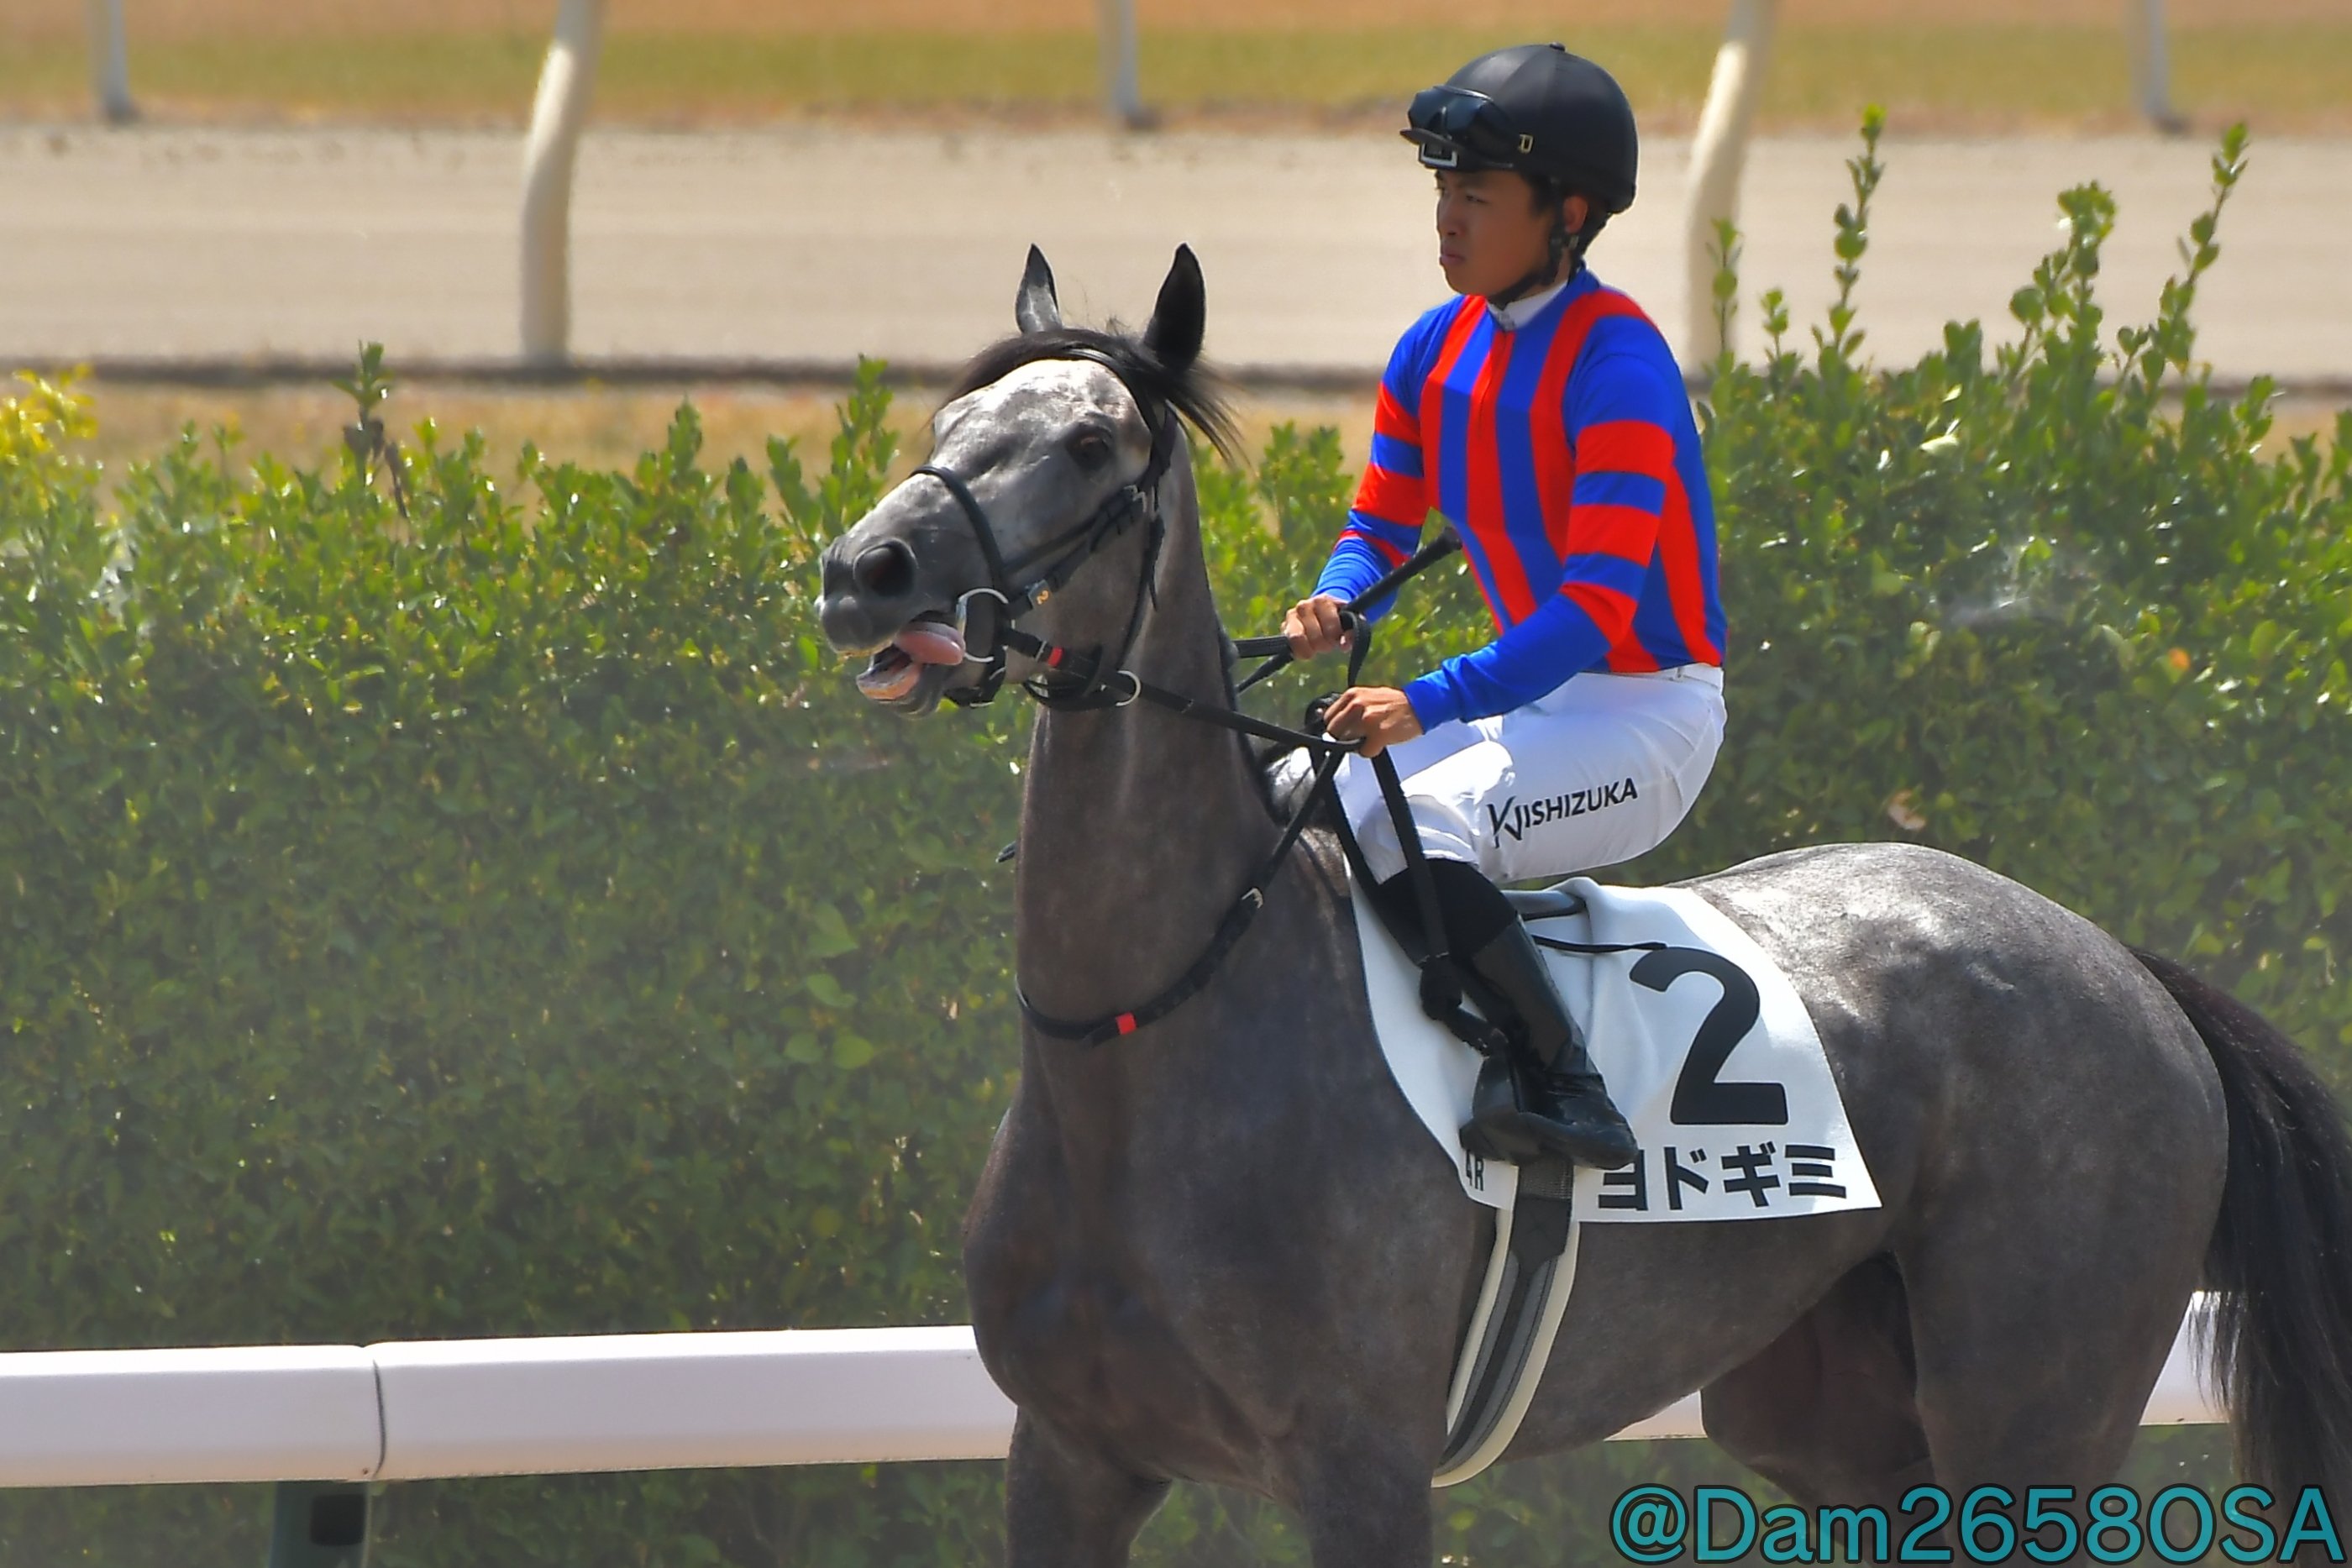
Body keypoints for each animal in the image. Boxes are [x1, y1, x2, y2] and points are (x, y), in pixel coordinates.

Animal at [814, 244, 2352, 1566]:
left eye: (1089, 444)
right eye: (951, 414)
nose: (861, 573)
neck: (1152, 1030)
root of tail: (2129, 969)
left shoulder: (1360, 1464)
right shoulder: (1068, 1453)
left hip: (2031, 1421)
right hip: (1841, 1425)